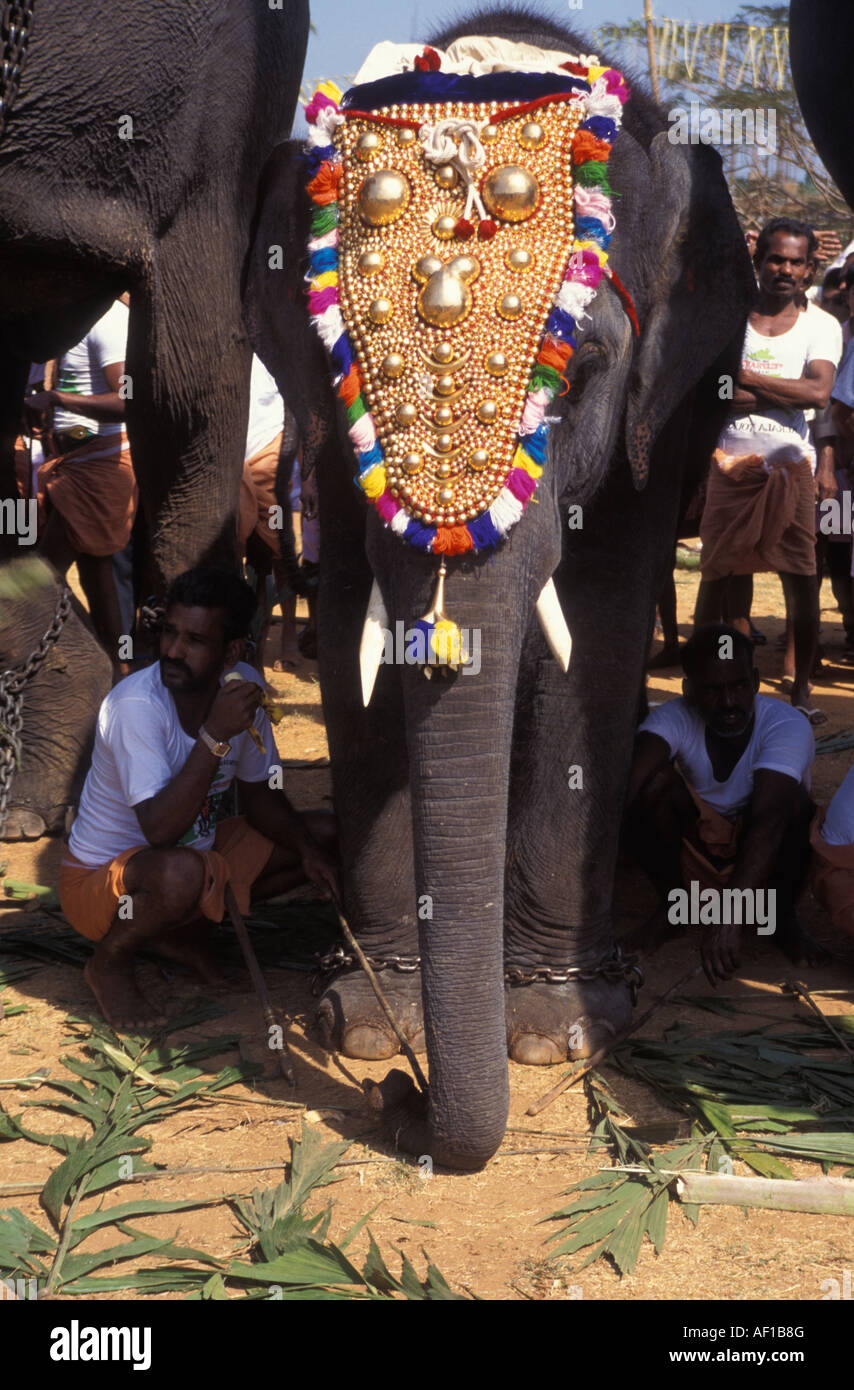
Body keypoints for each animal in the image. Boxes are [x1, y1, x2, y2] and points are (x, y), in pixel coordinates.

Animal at [245, 7, 756, 1172]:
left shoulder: (652, 417)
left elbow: (599, 635)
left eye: (576, 377)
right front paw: (365, 1021)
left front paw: (558, 1033)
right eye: (346, 374)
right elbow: (353, 633)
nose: (399, 1090)